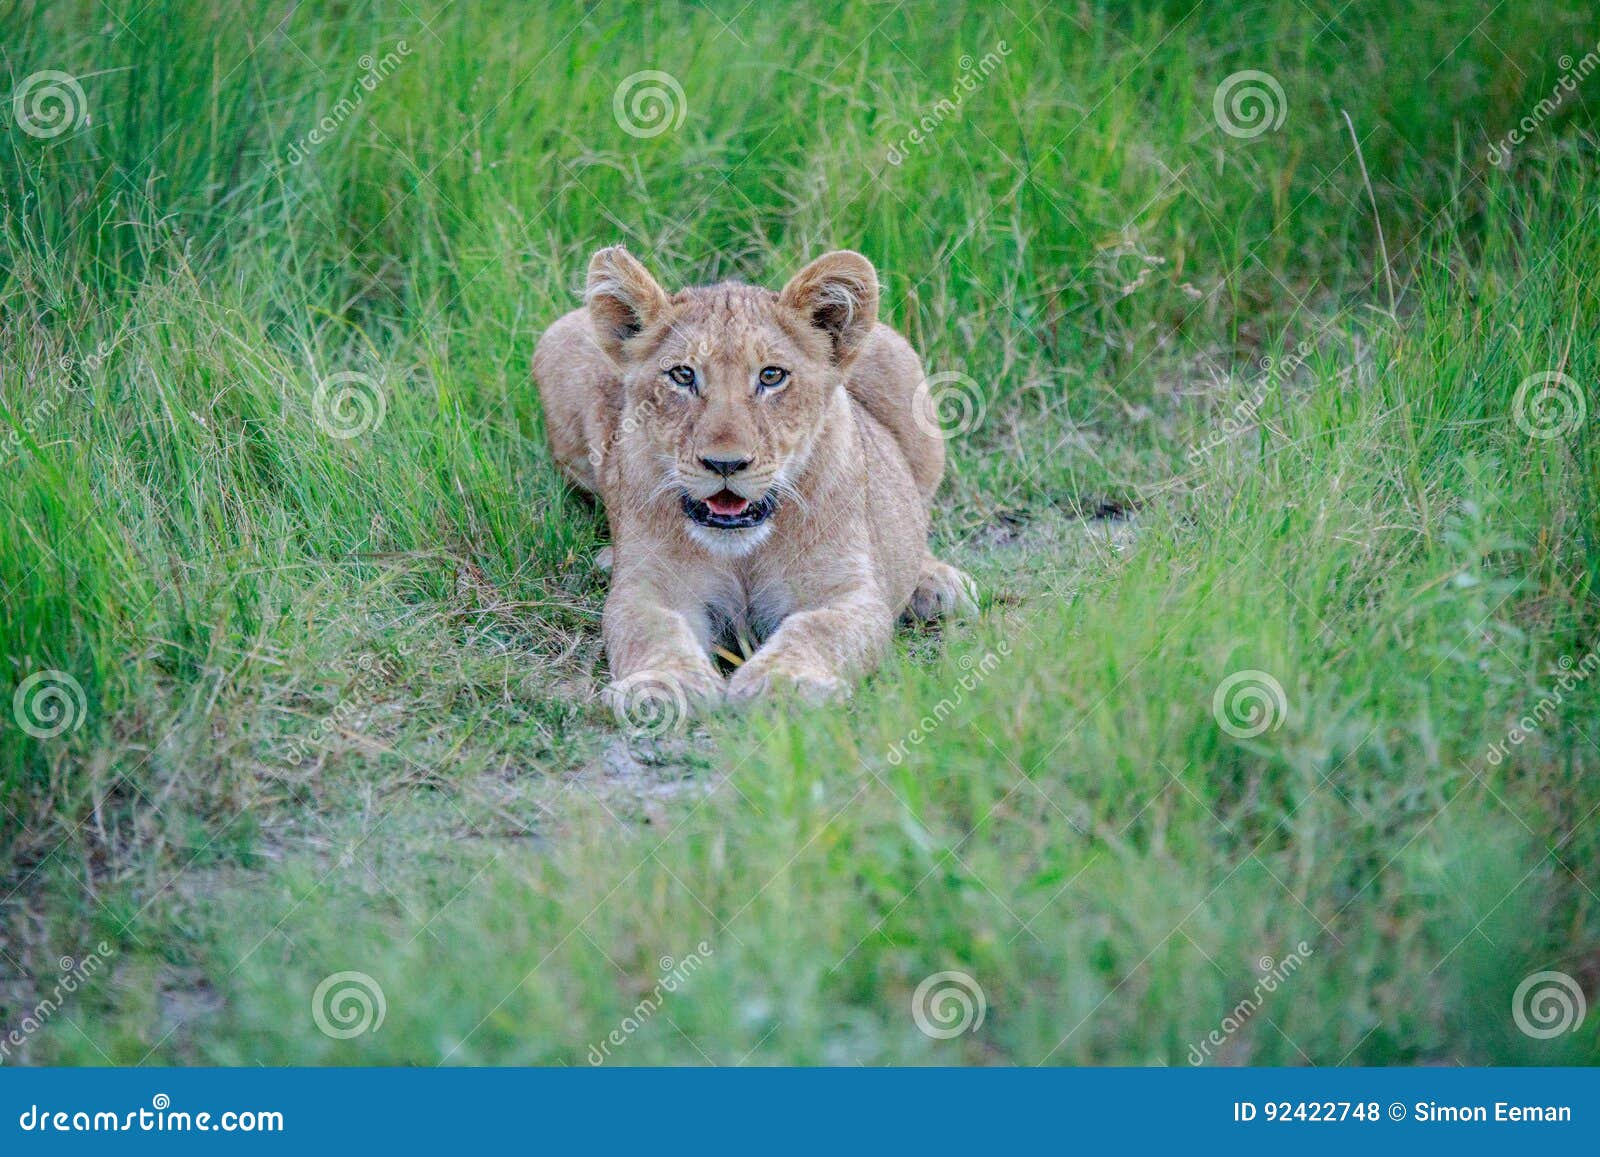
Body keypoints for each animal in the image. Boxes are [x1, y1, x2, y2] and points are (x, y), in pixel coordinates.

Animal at [532, 247, 975, 711]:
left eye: (771, 376)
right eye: (683, 375)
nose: (724, 464)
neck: (742, 552)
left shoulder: (847, 593)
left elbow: (817, 631)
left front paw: (784, 682)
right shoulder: (648, 591)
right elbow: (650, 633)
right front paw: (664, 683)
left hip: (902, 371)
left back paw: (938, 584)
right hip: (564, 340)